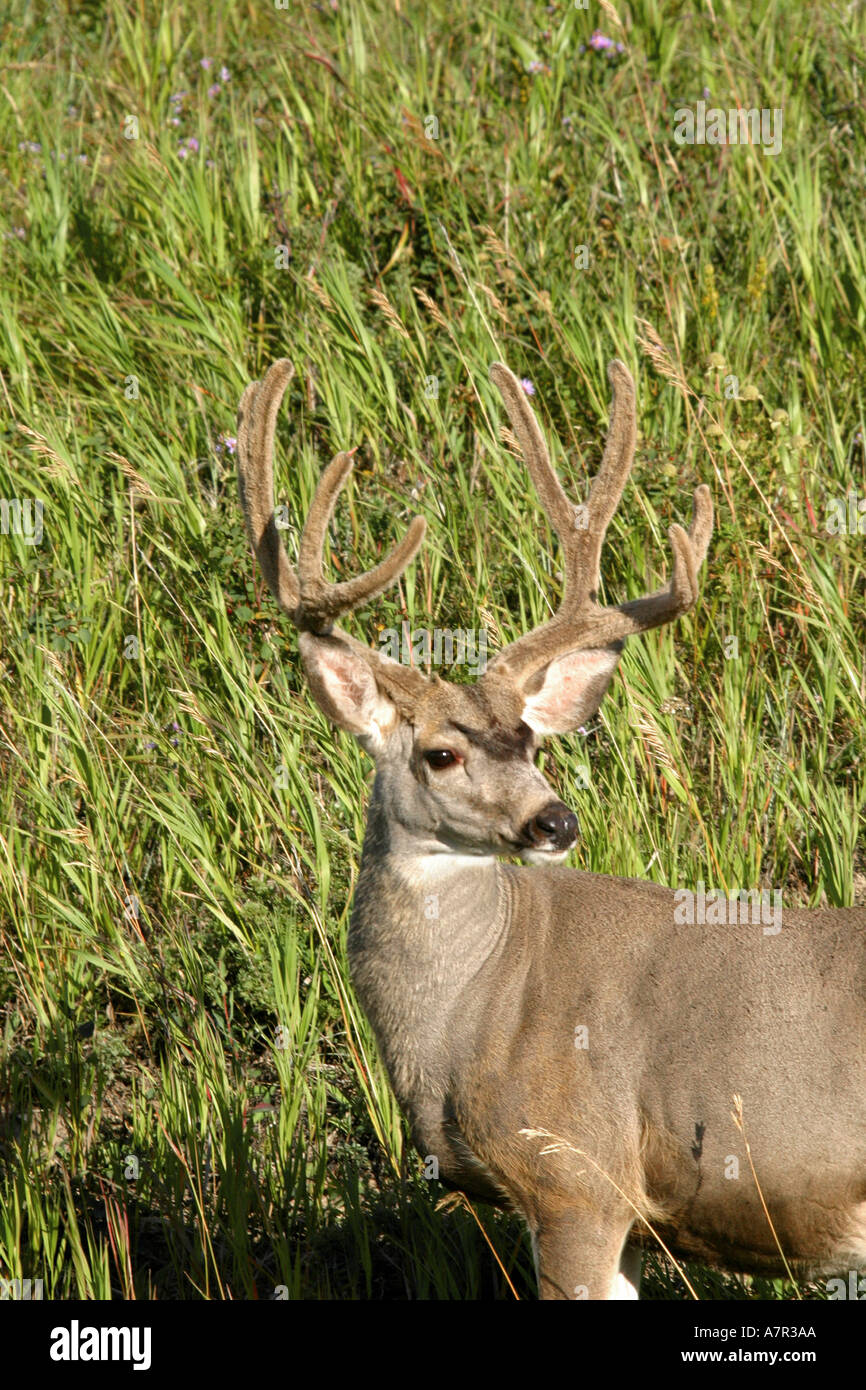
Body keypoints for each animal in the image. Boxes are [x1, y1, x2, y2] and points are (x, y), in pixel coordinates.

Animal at [236, 355, 866, 1300]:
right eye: (442, 753)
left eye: (530, 739)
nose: (554, 819)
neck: (475, 1006)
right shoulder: (623, 1209)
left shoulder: (575, 1173)